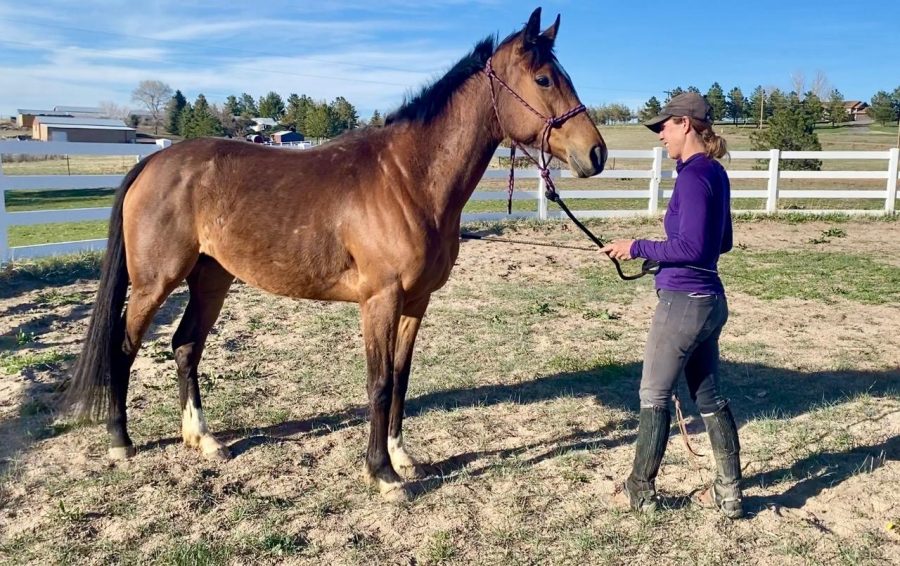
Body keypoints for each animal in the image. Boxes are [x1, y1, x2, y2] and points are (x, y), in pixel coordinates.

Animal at [65, 7, 607, 500]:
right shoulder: (379, 302)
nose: (596, 154)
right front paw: (382, 475)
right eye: (543, 78)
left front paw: (403, 458)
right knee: (125, 347)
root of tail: (154, 160)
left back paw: (204, 439)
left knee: (185, 346)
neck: (408, 179)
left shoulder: (415, 303)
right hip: (155, 282)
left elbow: (402, 379)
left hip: (211, 278)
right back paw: (121, 442)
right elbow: (379, 383)